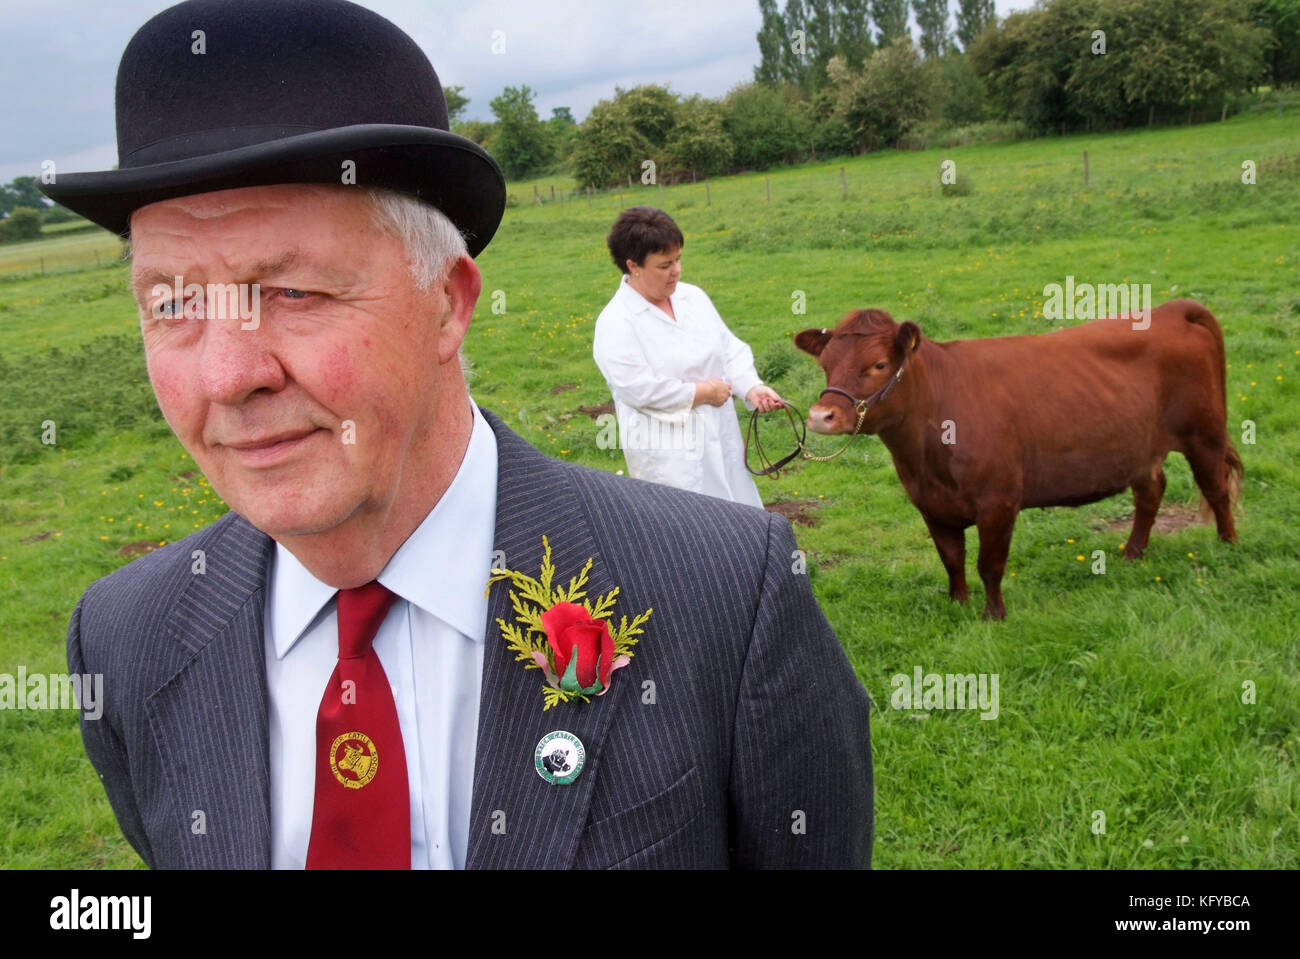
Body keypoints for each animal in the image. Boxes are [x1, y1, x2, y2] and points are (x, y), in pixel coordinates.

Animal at [794, 299, 1242, 619]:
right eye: (826, 364)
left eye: (879, 364)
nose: (820, 416)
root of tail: (1170, 309)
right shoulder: (930, 504)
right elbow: (952, 559)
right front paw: (957, 604)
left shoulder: (998, 500)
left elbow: (989, 564)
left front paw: (994, 615)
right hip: (1139, 448)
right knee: (1150, 492)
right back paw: (1133, 553)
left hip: (1204, 434)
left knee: (1216, 488)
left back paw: (1229, 545)